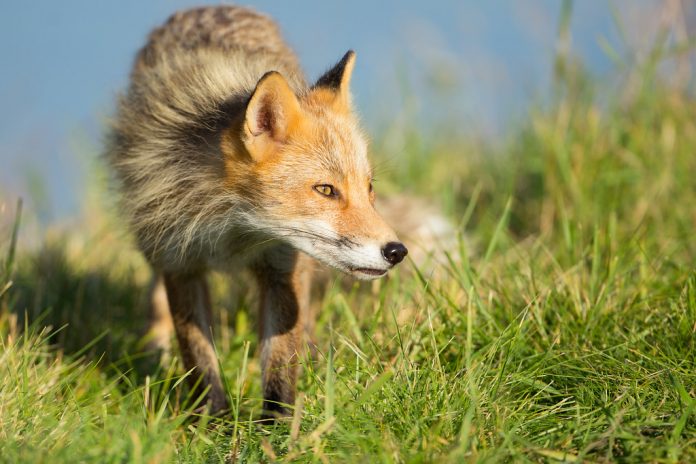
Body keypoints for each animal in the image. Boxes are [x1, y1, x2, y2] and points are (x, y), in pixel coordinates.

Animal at [105, 5, 408, 419]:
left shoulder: (281, 267)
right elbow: (199, 358)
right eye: (326, 190)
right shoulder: (181, 264)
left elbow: (280, 360)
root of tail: (214, 7)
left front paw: (276, 426)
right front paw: (212, 420)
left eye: (369, 187)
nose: (397, 251)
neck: (236, 232)